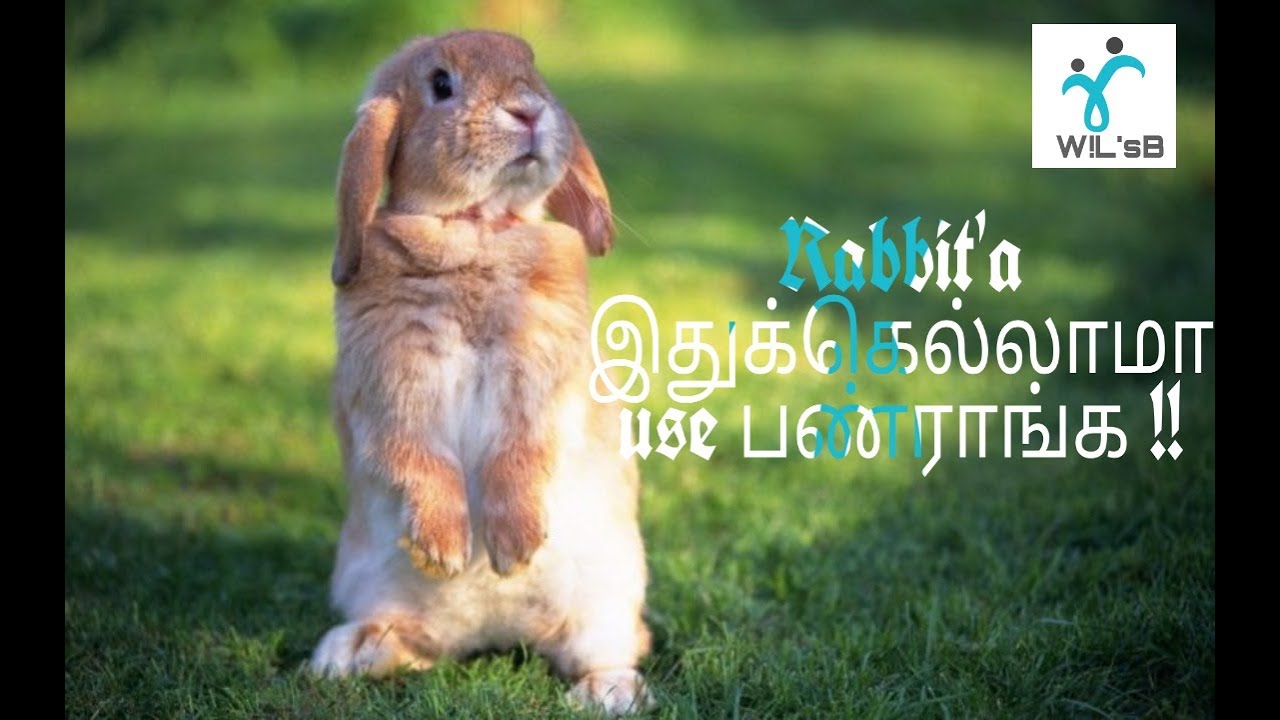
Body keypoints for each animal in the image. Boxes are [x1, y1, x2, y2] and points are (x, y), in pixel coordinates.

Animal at [308, 31, 653, 715]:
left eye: (532, 68)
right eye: (441, 84)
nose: (529, 110)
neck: (475, 228)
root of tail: (494, 633)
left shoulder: (539, 383)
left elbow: (519, 453)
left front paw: (515, 548)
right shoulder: (393, 387)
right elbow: (419, 457)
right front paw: (444, 550)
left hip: (606, 601)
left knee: (612, 649)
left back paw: (605, 693)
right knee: (415, 642)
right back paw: (347, 654)